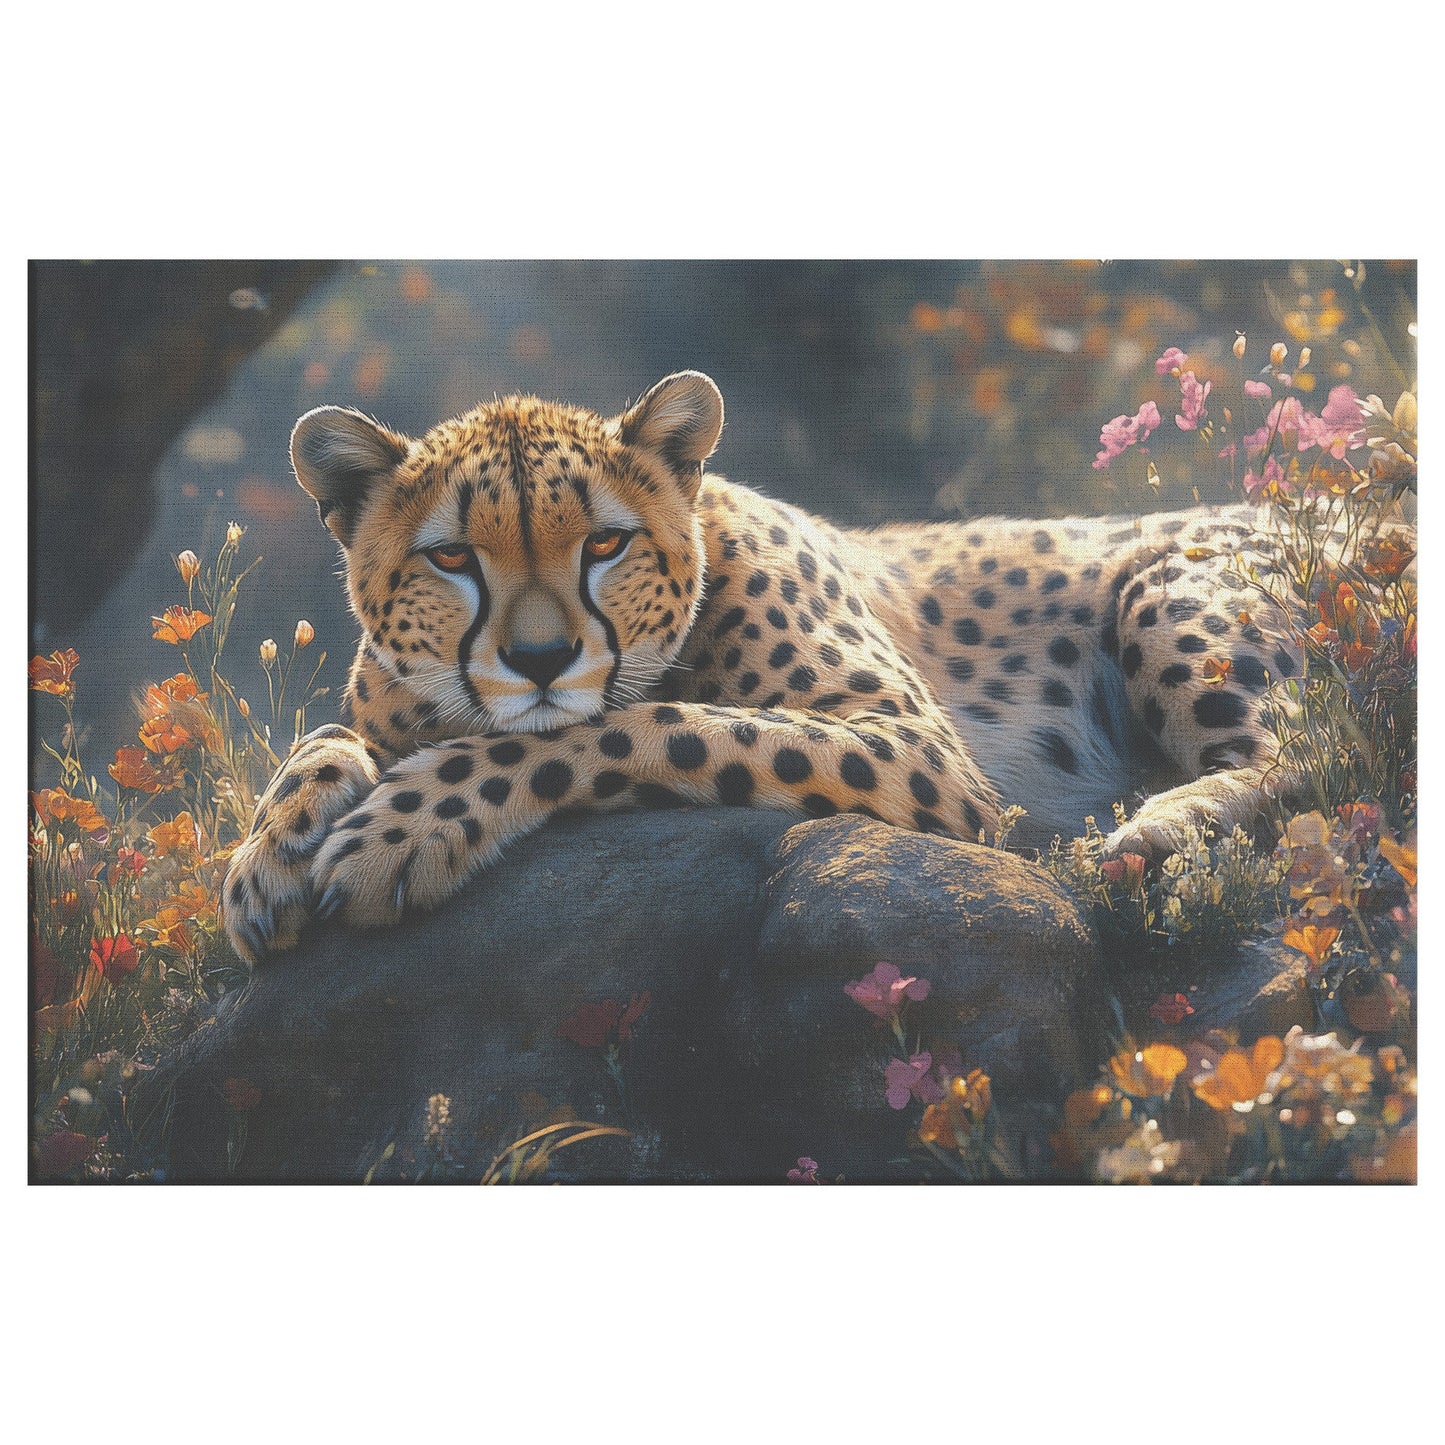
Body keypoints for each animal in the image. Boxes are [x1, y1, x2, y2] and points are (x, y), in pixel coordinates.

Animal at [222, 369, 1325, 965]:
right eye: (451, 557)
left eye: (605, 543)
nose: (539, 658)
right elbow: (326, 733)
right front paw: (264, 858)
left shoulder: (920, 749)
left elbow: (631, 724)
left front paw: (401, 828)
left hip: (1166, 581)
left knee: (1311, 759)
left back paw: (1154, 826)